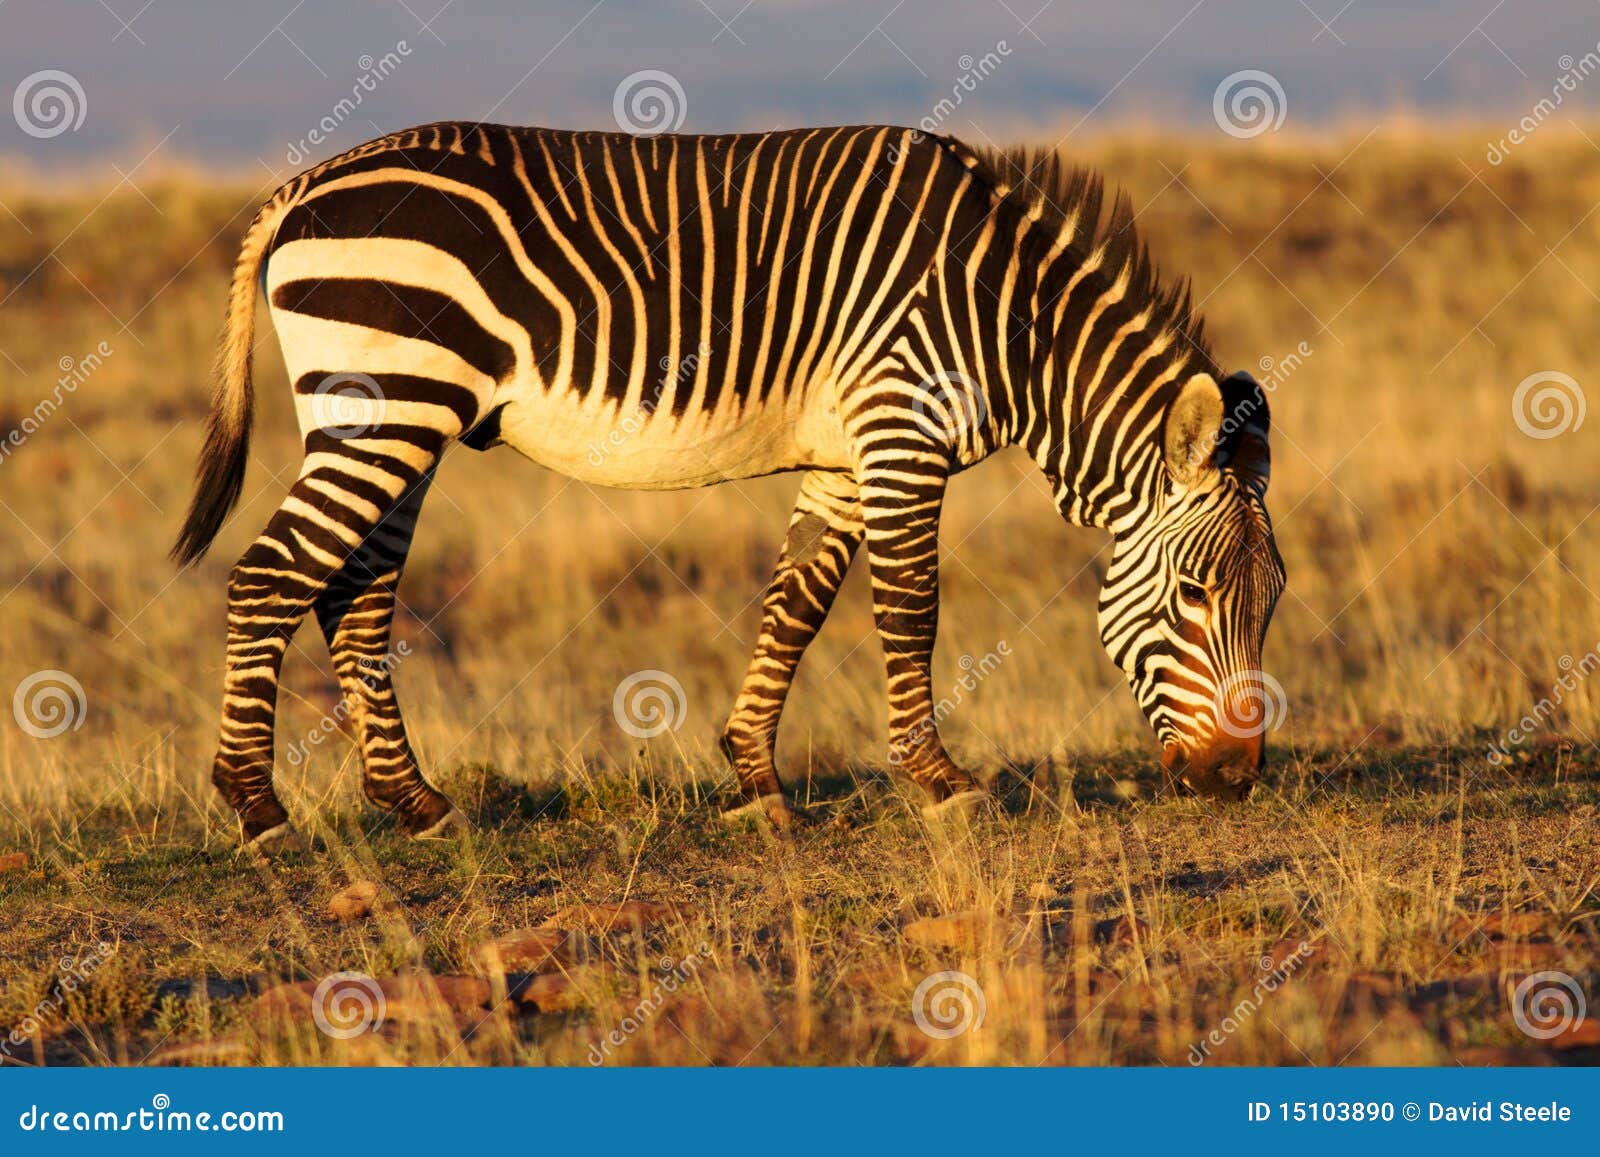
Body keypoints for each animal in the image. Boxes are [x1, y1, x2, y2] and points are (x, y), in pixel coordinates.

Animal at [172, 122, 1286, 849]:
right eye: (1194, 594)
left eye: (1270, 601)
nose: (1236, 781)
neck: (1009, 316)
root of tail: (305, 183)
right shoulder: (901, 427)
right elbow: (910, 609)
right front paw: (940, 782)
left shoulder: (842, 457)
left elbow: (794, 608)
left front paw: (752, 775)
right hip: (387, 405)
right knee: (269, 578)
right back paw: (257, 808)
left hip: (395, 419)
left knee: (353, 598)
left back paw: (415, 803)